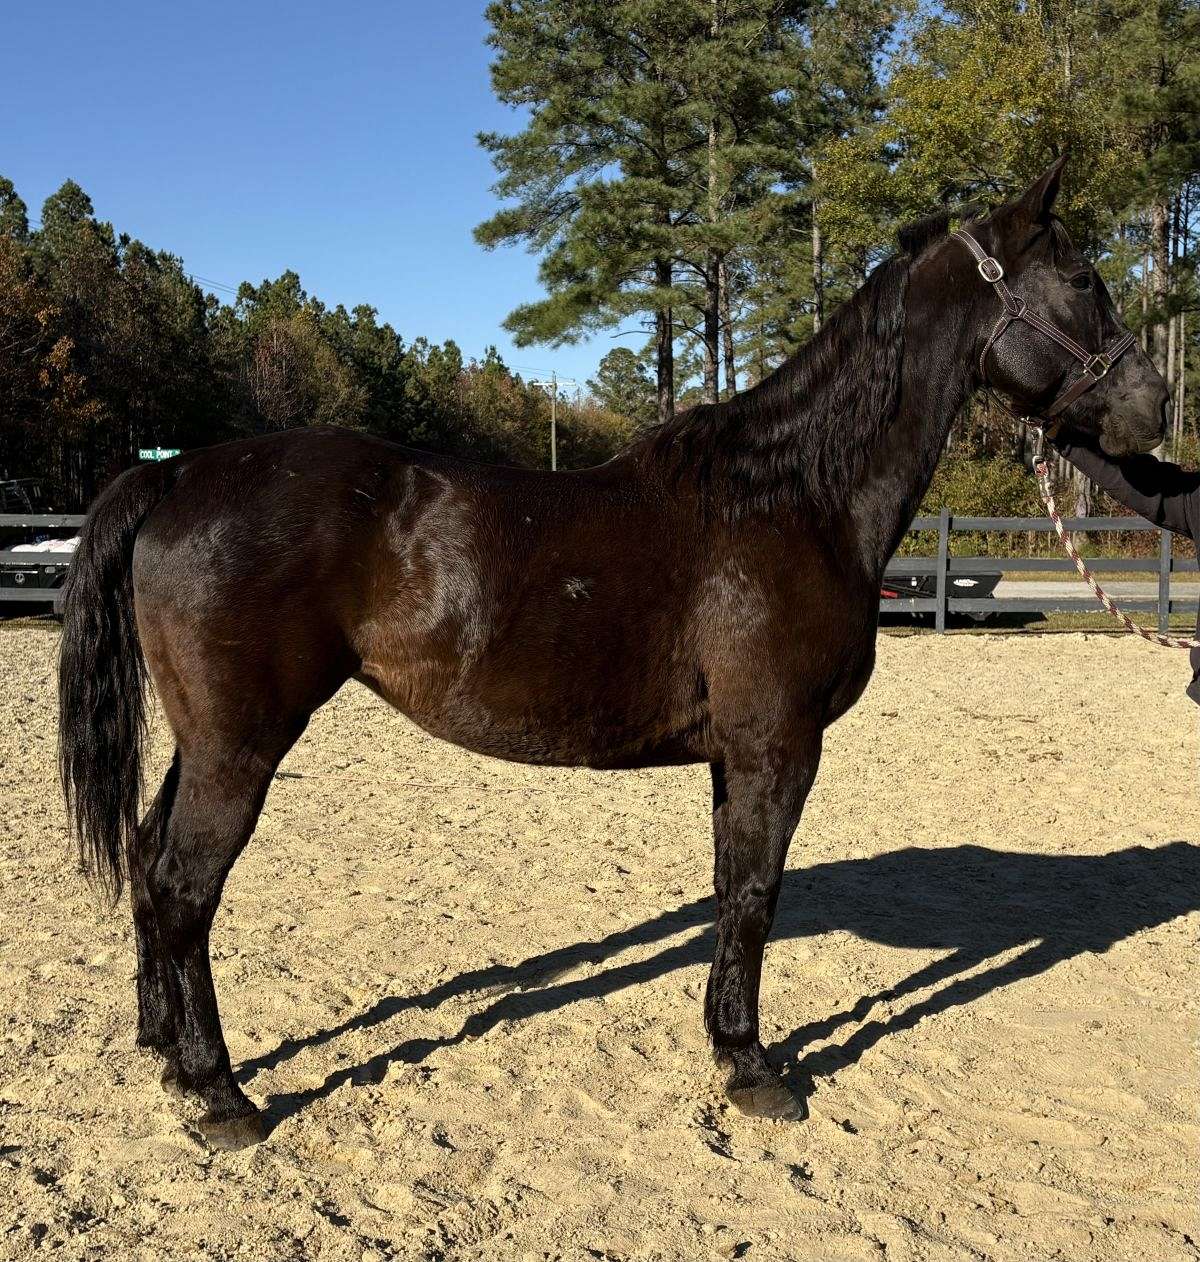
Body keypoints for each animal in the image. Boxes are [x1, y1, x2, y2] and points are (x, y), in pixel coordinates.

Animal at [58, 157, 1168, 1149]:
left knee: (152, 869)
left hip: (204, 742)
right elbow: (756, 897)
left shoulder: (734, 755)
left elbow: (731, 892)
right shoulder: (777, 744)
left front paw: (728, 1045)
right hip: (240, 745)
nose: (1154, 407)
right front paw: (756, 1070)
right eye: (1083, 280)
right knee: (185, 888)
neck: (792, 497)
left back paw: (166, 1055)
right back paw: (221, 1096)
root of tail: (177, 475)